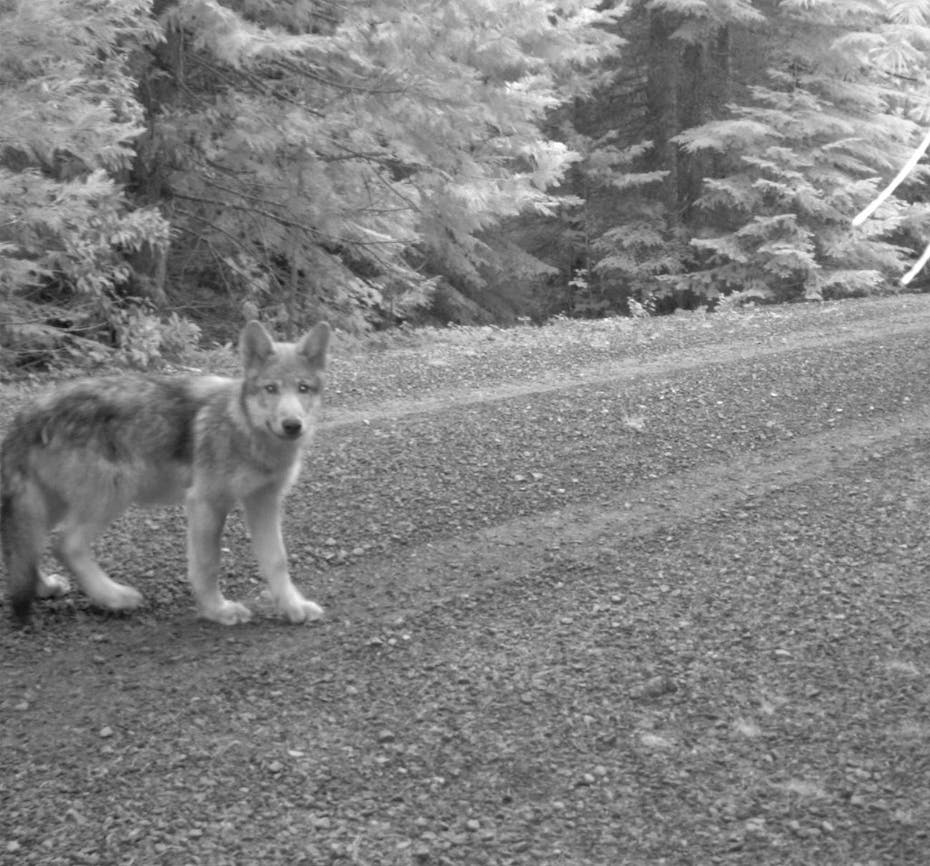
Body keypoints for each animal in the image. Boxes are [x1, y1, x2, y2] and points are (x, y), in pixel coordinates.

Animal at [1, 320, 330, 626]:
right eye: (271, 389)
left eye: (303, 388)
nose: (292, 425)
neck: (246, 430)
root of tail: (31, 412)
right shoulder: (205, 503)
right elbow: (208, 565)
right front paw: (217, 611)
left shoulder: (264, 502)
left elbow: (277, 560)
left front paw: (293, 608)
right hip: (112, 496)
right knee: (65, 545)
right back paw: (114, 597)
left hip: (53, 506)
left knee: (24, 543)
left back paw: (45, 587)